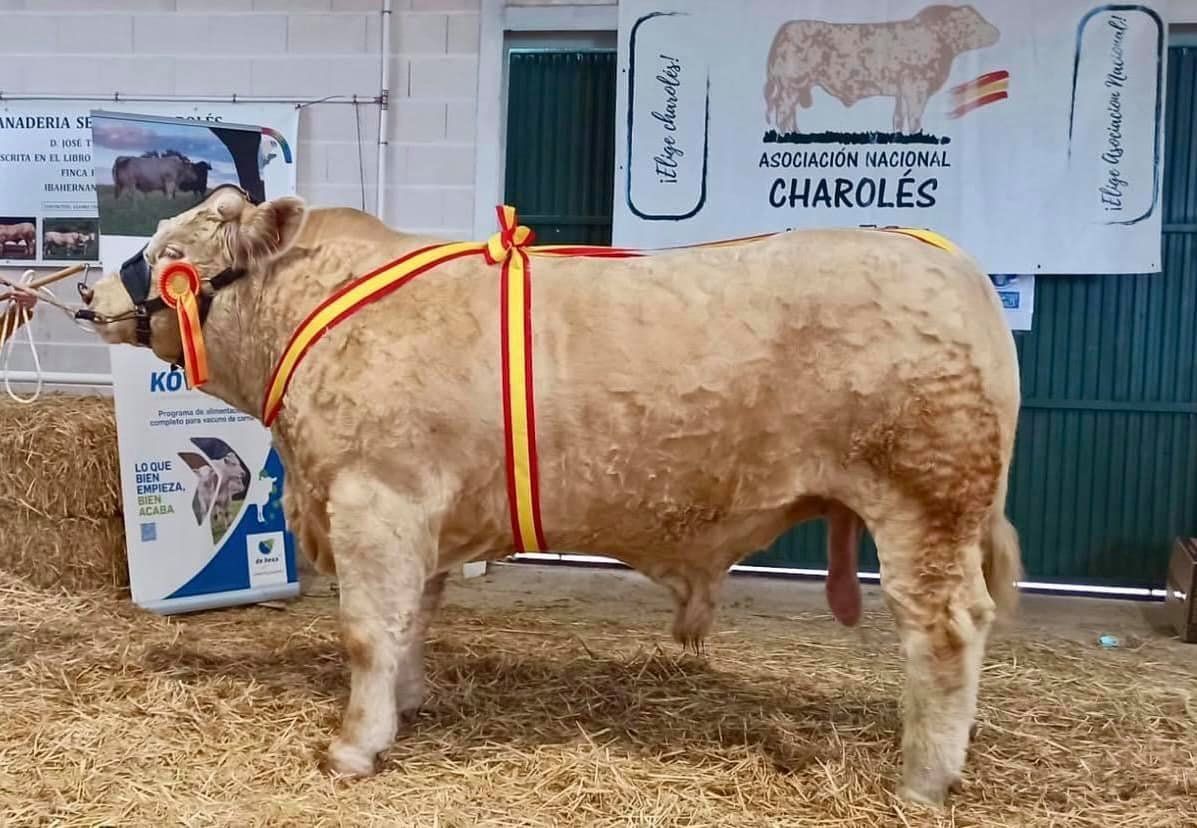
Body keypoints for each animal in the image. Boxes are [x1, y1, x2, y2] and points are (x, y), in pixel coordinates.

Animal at [79, 185, 1024, 804]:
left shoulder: (373, 498)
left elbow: (366, 630)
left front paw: (353, 746)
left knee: (945, 629)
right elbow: (411, 619)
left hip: (925, 500)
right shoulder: (419, 513)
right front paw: (405, 707)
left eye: (168, 254)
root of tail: (948, 261)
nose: (89, 291)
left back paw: (921, 779)